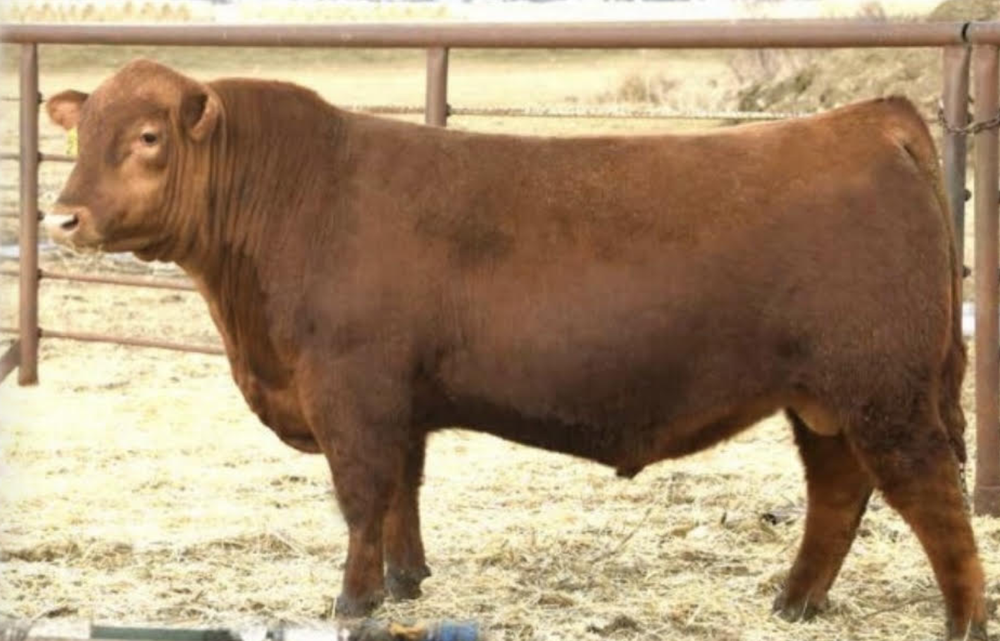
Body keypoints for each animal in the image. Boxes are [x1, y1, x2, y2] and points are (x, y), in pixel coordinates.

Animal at [43, 59, 986, 640]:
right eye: (79, 135)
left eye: (148, 137)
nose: (63, 217)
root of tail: (869, 120)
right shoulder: (400, 398)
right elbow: (403, 490)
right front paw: (407, 579)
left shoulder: (351, 390)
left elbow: (362, 497)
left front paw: (353, 599)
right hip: (822, 399)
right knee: (838, 490)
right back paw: (794, 602)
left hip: (884, 391)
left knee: (931, 495)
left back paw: (963, 617)